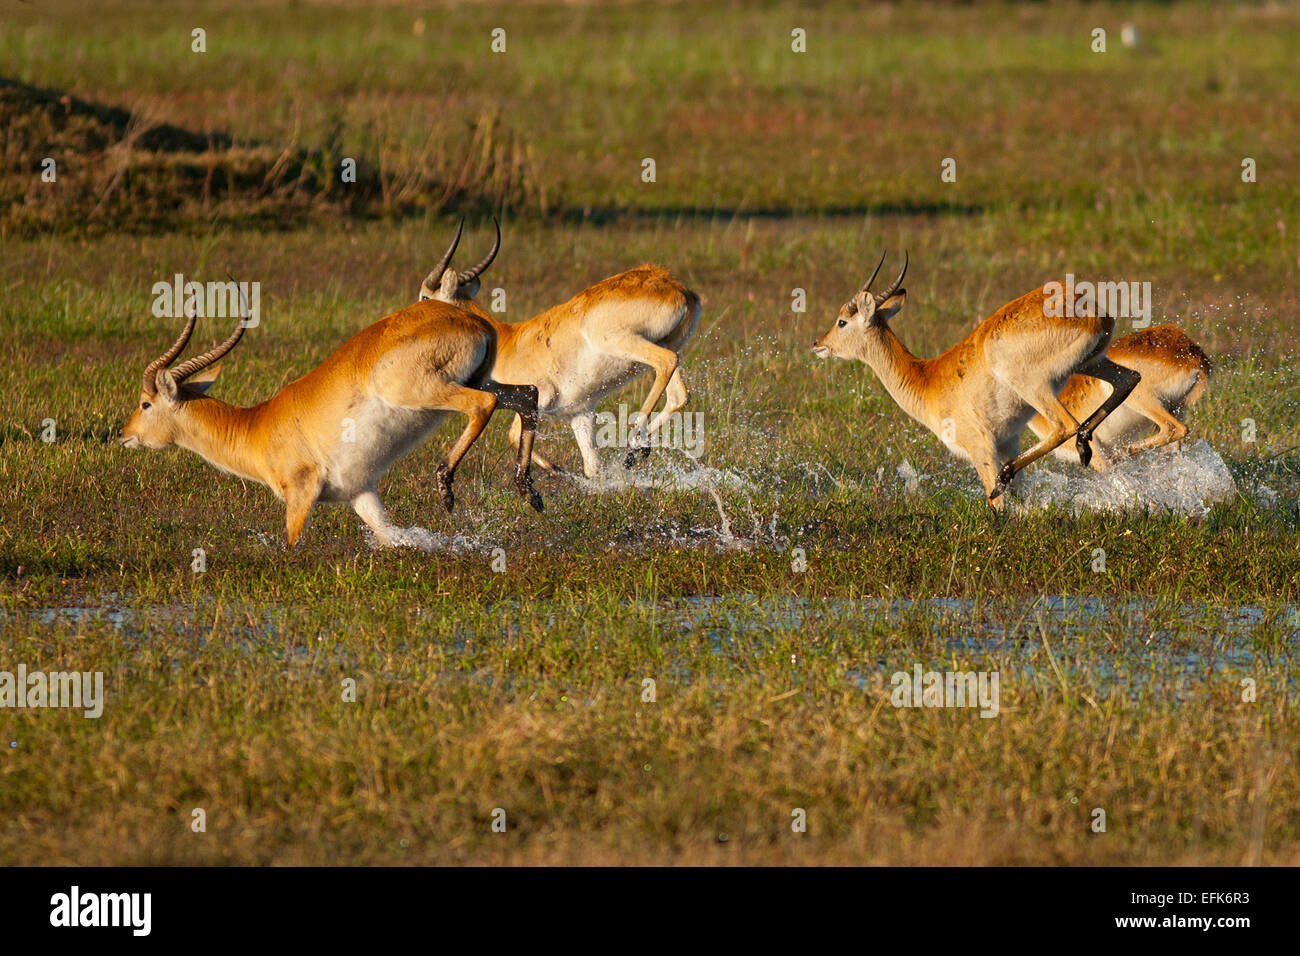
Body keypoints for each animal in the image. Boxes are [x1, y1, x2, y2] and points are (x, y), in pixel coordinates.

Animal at [119, 277, 543, 549]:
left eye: (145, 403)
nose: (123, 434)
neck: (256, 427)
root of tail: (473, 320)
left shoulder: (300, 493)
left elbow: (290, 545)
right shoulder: (360, 492)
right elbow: (394, 537)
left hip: (427, 391)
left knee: (482, 406)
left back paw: (446, 487)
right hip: (483, 378)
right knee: (528, 395)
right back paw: (530, 494)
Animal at [419, 220, 701, 478]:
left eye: (424, 297)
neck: (506, 343)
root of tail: (675, 287)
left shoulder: (540, 396)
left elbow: (512, 434)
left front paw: (559, 472)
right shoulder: (580, 412)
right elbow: (592, 468)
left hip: (625, 343)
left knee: (666, 362)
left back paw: (632, 447)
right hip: (666, 344)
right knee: (679, 394)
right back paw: (633, 453)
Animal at [811, 253, 1142, 510]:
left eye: (842, 321)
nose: (818, 343)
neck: (925, 379)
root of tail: (1094, 313)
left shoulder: (980, 447)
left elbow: (998, 506)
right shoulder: (1008, 441)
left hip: (1031, 383)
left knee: (1064, 425)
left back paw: (1011, 474)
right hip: (1093, 361)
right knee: (1129, 379)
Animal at [1028, 324, 1211, 469]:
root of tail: (1193, 355)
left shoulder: (1098, 457)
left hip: (1140, 399)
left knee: (1175, 428)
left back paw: (1123, 452)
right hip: (1177, 410)